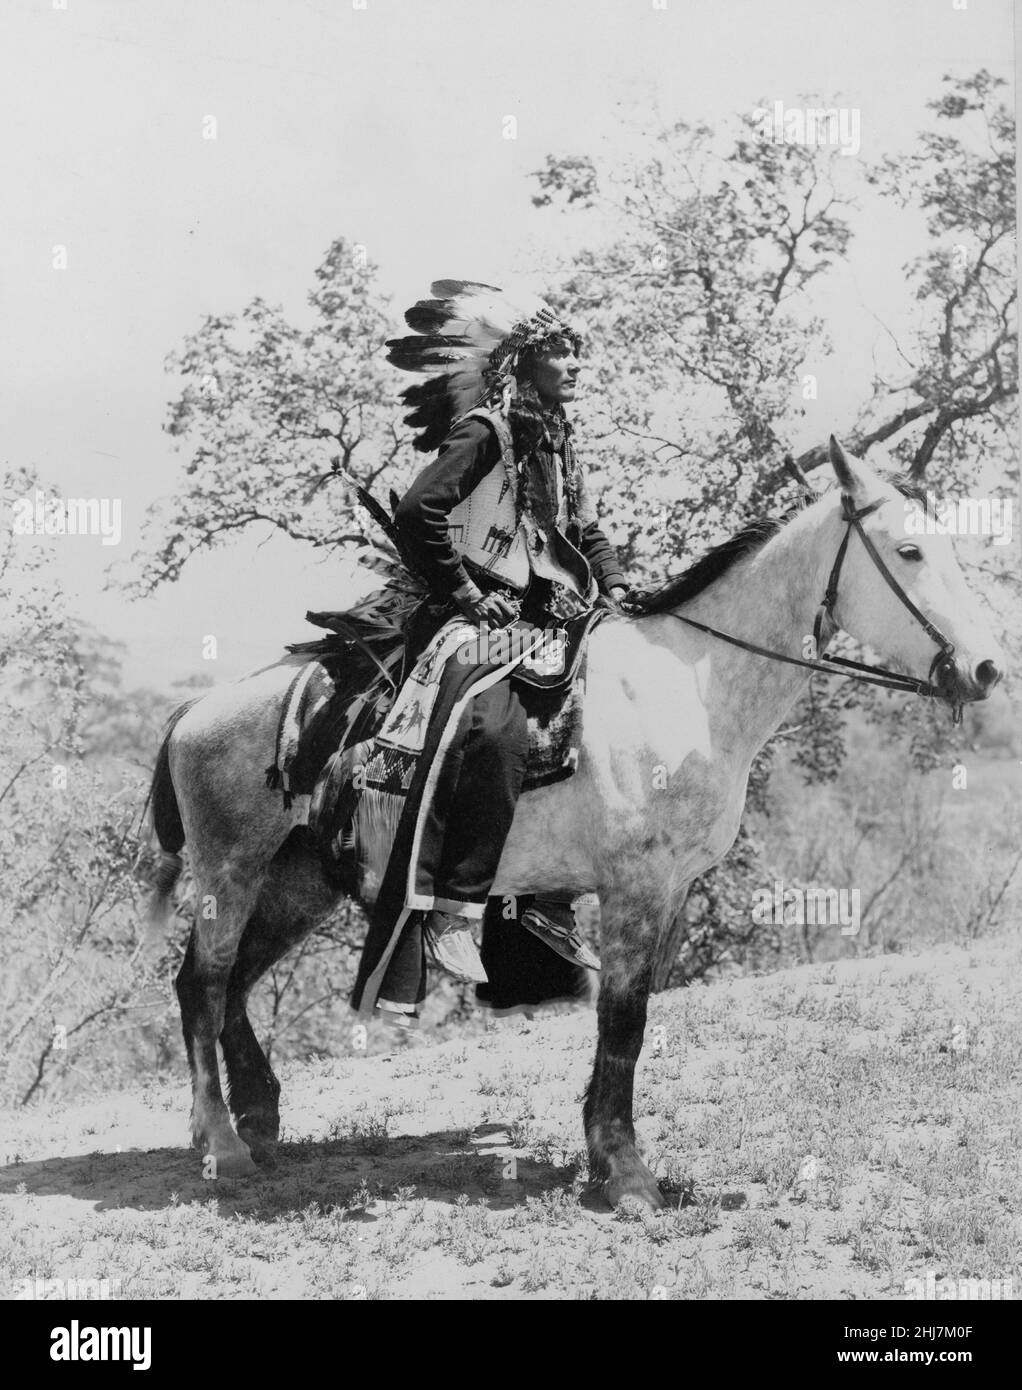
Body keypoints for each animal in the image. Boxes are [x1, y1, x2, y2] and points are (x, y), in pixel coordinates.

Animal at [145, 439, 1003, 1208]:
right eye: (910, 550)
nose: (988, 667)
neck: (692, 685)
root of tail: (195, 709)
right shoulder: (634, 885)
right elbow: (622, 1021)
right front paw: (627, 1176)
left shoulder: (670, 890)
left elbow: (629, 1020)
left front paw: (601, 1154)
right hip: (230, 869)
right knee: (203, 983)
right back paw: (223, 1145)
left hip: (298, 880)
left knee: (234, 983)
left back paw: (258, 1118)